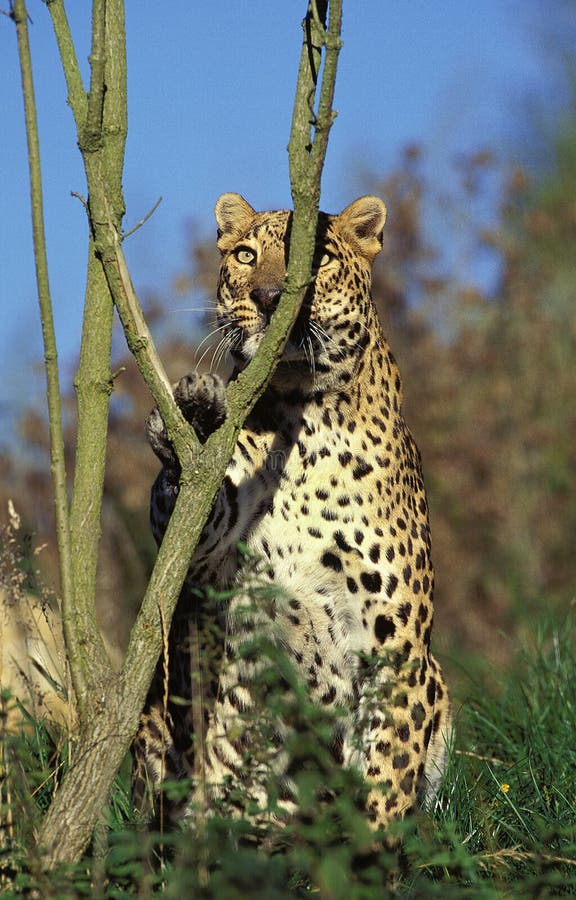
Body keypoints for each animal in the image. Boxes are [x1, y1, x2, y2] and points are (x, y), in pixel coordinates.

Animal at [132, 192, 451, 832]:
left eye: (320, 256)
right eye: (245, 255)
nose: (268, 297)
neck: (307, 419)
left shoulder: (397, 645)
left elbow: (386, 775)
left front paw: (371, 848)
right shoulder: (206, 555)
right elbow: (184, 507)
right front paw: (195, 417)